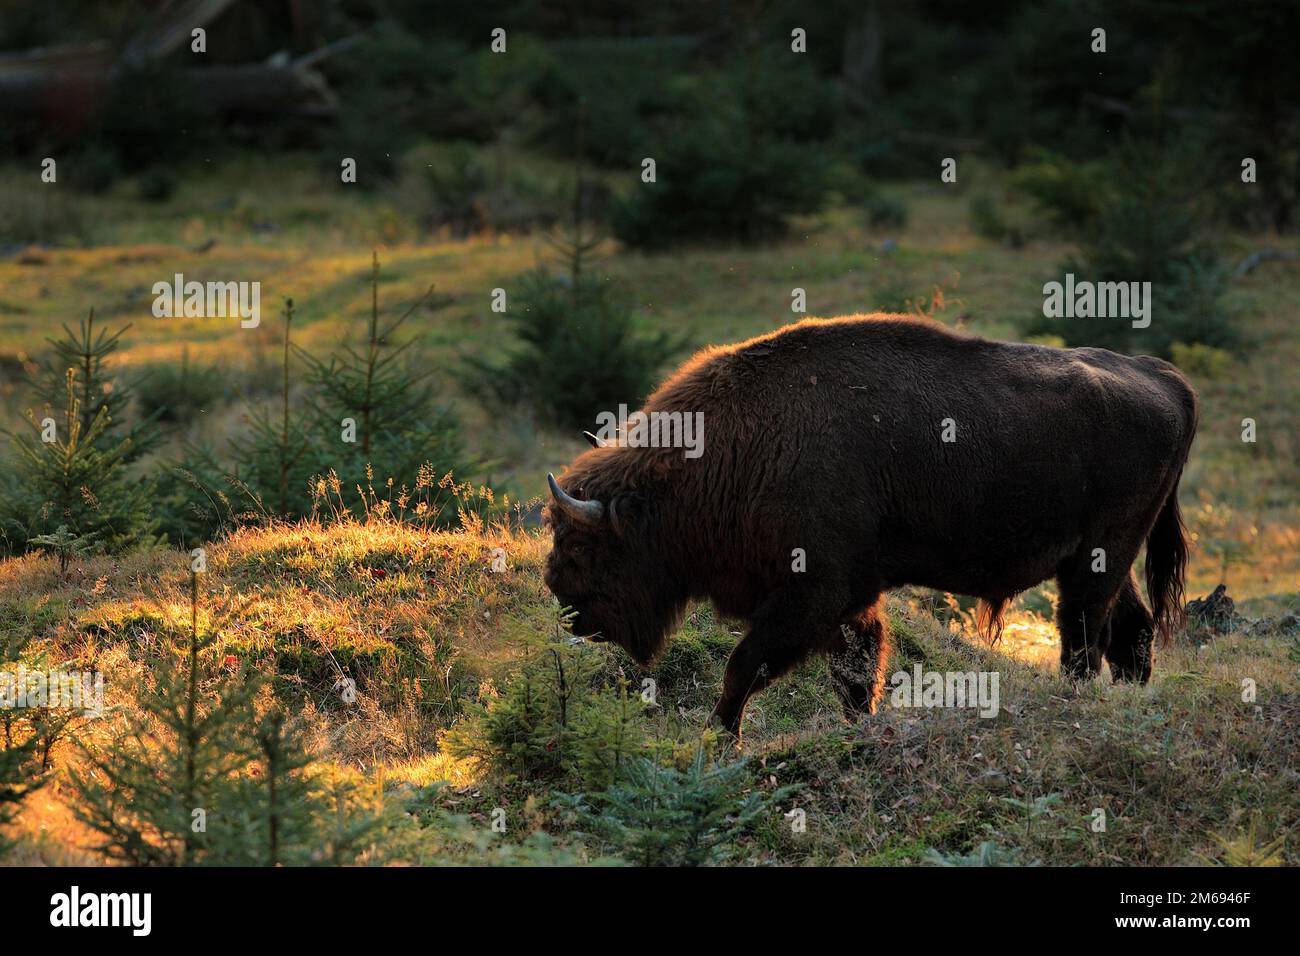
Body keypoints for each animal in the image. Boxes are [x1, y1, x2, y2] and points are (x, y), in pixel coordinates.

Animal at [543, 315, 1197, 737]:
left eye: (584, 545)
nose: (559, 594)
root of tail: (1165, 378)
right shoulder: (846, 599)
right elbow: (856, 670)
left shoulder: (813, 592)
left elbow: (746, 666)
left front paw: (719, 738)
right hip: (1102, 555)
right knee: (1130, 631)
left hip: (1100, 555)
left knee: (1083, 638)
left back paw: (1074, 703)